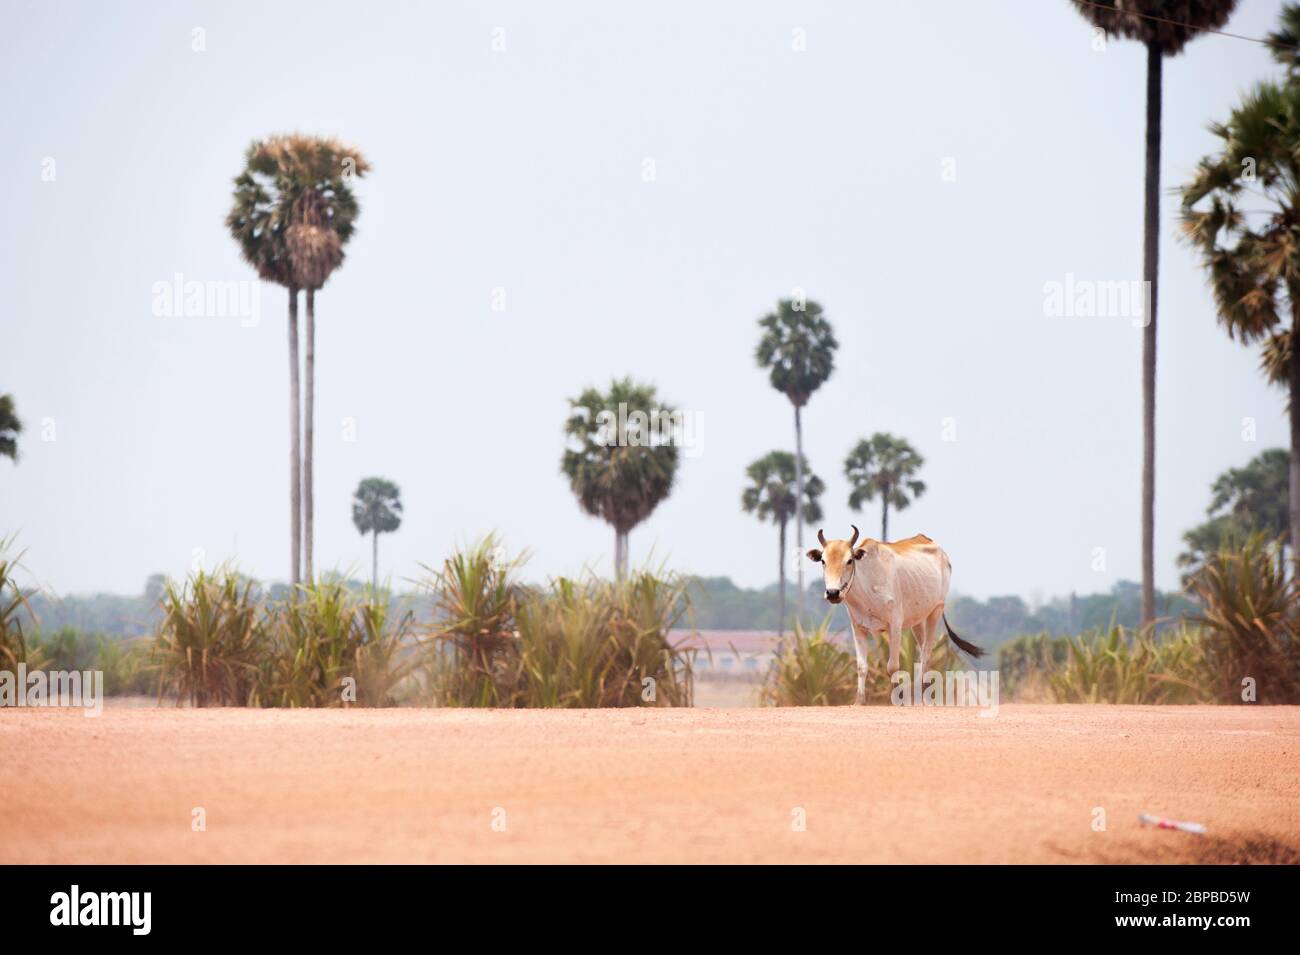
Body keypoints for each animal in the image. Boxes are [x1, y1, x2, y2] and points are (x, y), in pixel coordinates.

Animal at [806, 525, 983, 705]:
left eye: (849, 560)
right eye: (823, 561)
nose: (833, 593)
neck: (869, 583)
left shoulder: (895, 625)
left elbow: (892, 666)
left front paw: (897, 699)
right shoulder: (858, 628)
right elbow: (861, 667)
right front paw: (859, 701)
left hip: (936, 610)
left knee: (927, 652)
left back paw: (921, 696)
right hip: (917, 621)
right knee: (923, 652)